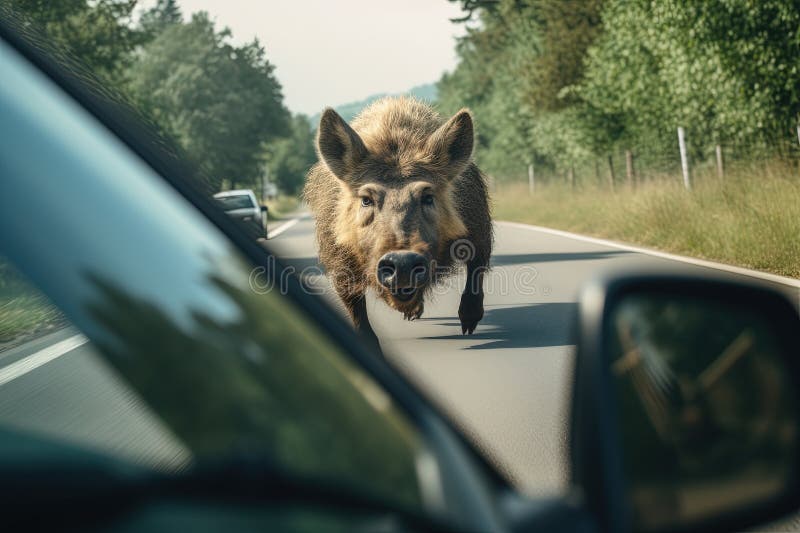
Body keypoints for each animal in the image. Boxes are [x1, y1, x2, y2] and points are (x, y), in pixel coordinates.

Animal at [303, 97, 492, 344]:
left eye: (428, 197)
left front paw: (468, 323)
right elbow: (355, 308)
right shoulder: (337, 258)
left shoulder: (477, 223)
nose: (402, 262)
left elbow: (477, 267)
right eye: (366, 199)